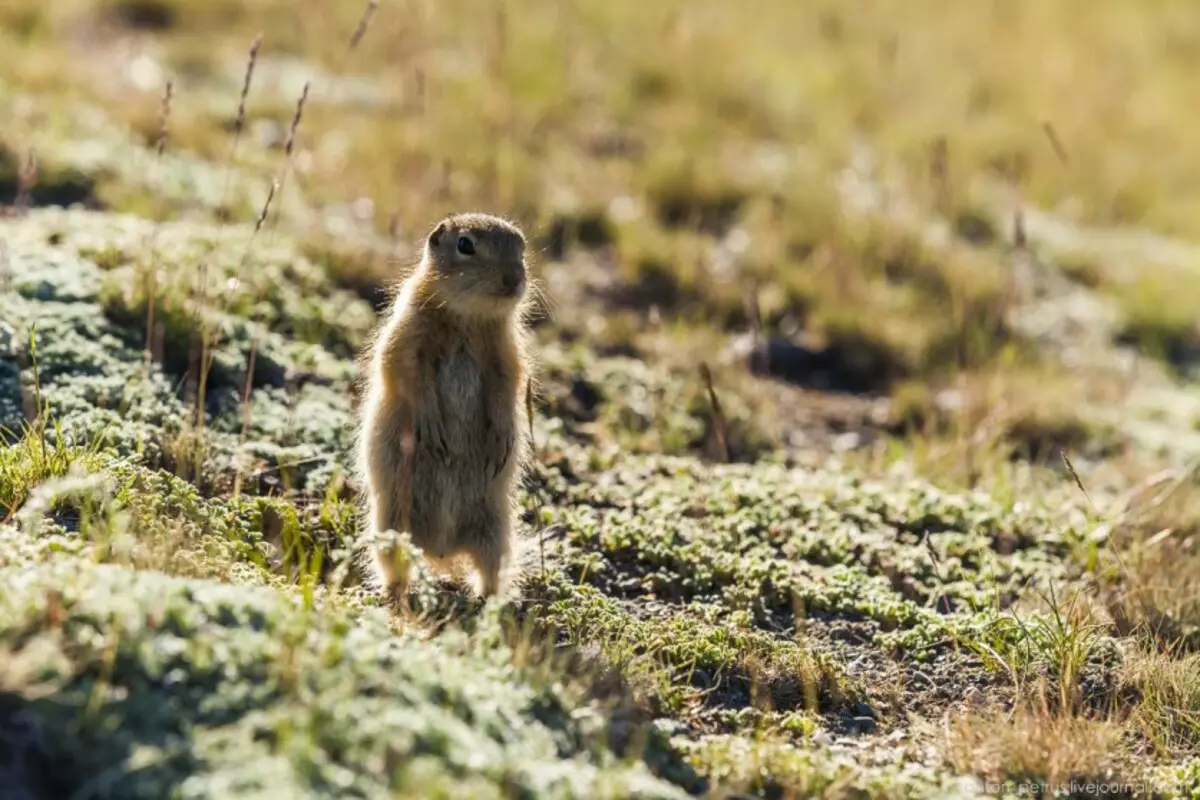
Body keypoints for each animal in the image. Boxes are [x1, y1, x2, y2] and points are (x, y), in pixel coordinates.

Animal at [352, 211, 537, 599]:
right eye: (465, 245)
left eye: (521, 246)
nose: (513, 279)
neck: (466, 317)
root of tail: (441, 548)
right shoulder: (407, 337)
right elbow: (404, 374)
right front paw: (434, 432)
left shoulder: (507, 354)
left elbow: (508, 387)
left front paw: (501, 440)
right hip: (392, 524)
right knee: (396, 567)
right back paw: (393, 593)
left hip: (496, 533)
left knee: (490, 571)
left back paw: (490, 600)